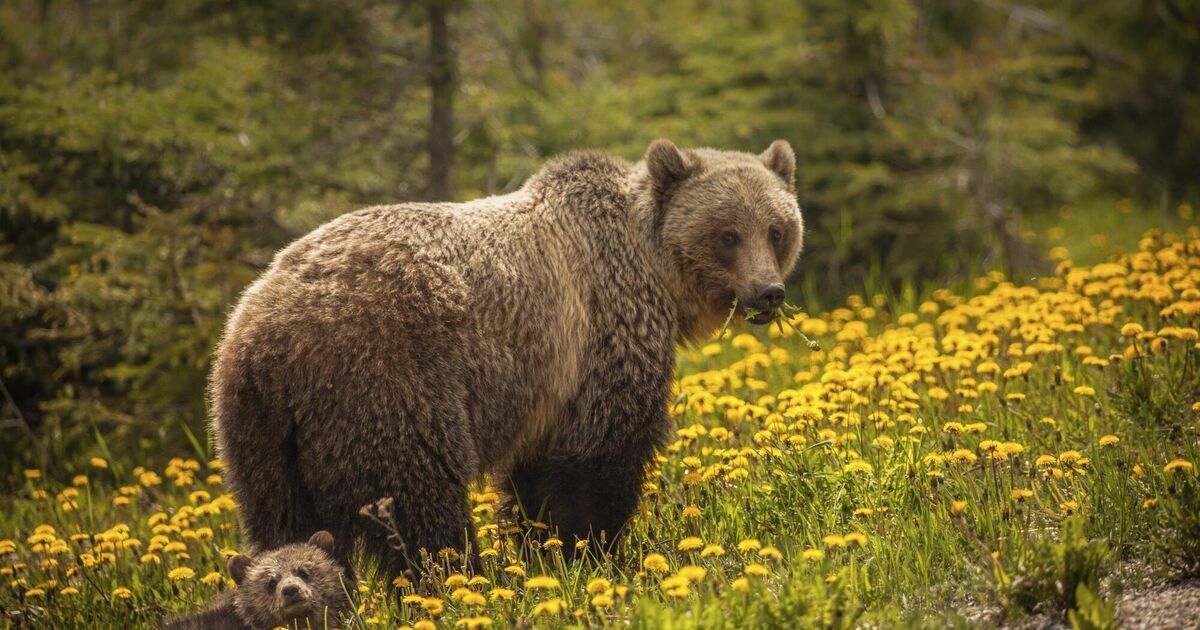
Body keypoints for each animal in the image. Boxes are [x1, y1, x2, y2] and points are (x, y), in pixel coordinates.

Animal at [209, 139, 804, 578]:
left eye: (776, 229)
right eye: (728, 234)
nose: (767, 292)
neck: (654, 270)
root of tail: (266, 335)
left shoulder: (548, 385)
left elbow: (536, 479)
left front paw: (543, 551)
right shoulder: (600, 334)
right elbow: (601, 457)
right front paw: (595, 554)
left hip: (259, 433)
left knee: (283, 524)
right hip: (384, 380)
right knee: (420, 500)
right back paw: (457, 580)